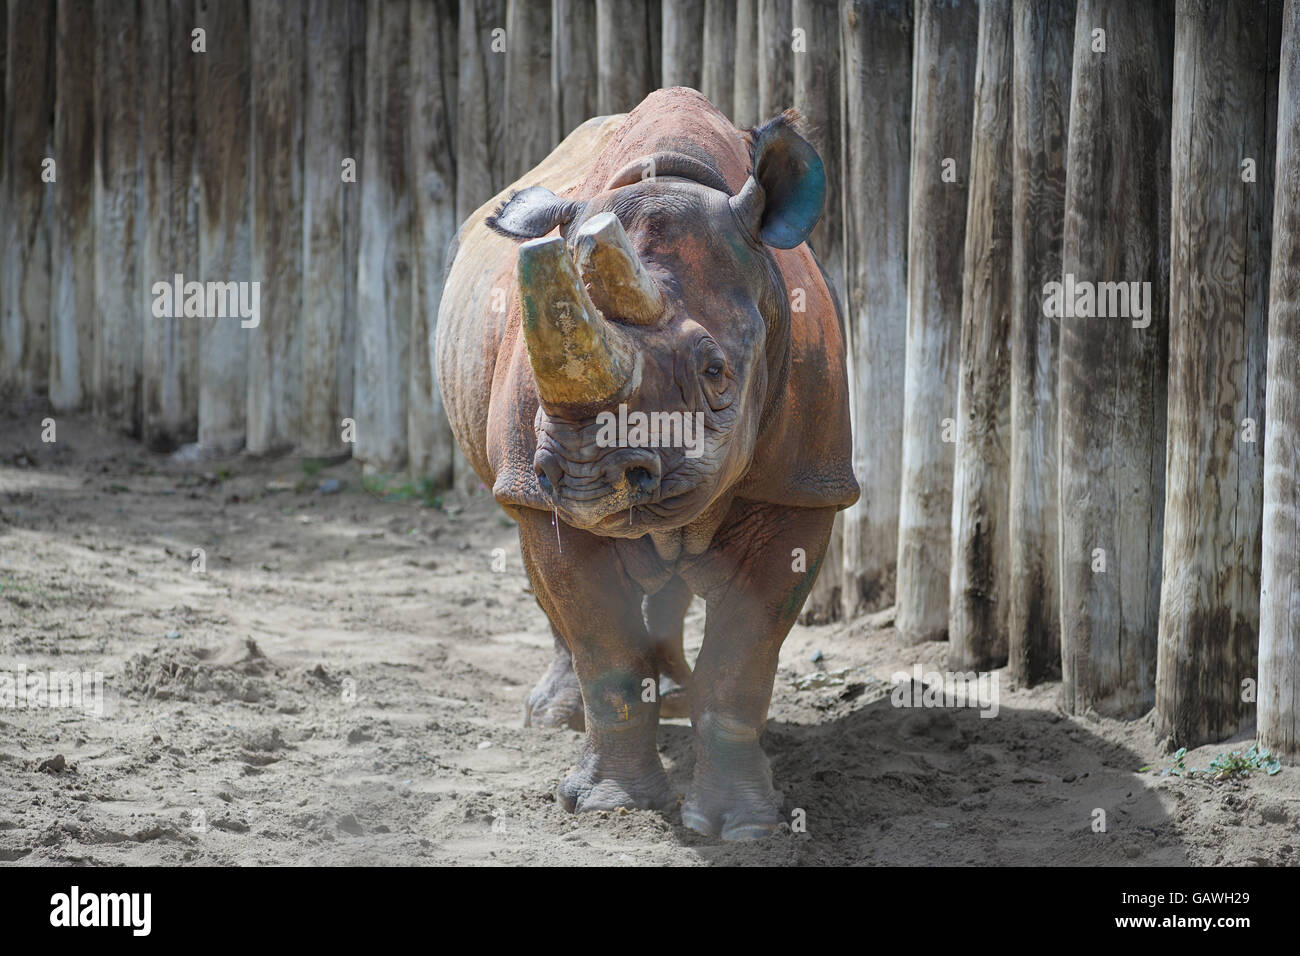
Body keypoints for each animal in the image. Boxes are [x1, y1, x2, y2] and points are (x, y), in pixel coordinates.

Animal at [435, 88, 857, 840]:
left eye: (717, 372)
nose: (585, 476)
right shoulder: (536, 486)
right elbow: (602, 644)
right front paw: (610, 805)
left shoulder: (804, 486)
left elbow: (743, 661)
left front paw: (743, 825)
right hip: (522, 483)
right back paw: (558, 718)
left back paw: (676, 699)